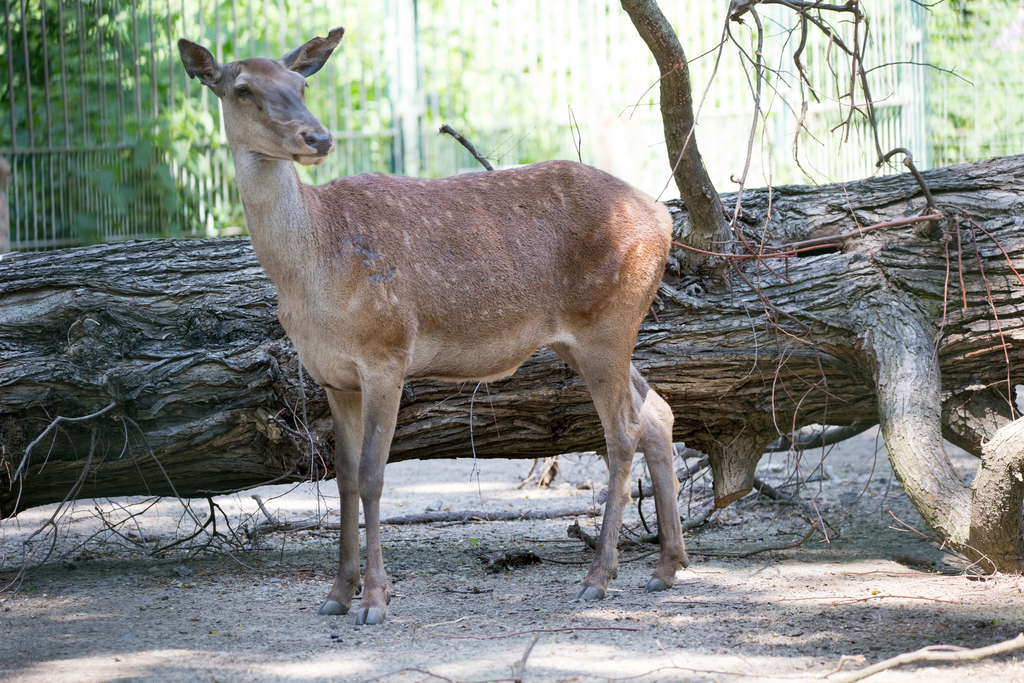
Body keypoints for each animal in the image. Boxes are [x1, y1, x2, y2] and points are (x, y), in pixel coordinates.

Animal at [178, 27, 688, 626]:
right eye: (243, 89)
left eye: (300, 84)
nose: (318, 136)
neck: (313, 272)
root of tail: (665, 218)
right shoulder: (332, 375)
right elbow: (343, 476)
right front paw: (337, 594)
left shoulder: (386, 354)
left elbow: (373, 476)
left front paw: (375, 600)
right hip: (584, 341)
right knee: (657, 413)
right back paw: (666, 568)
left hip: (607, 326)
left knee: (622, 432)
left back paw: (598, 578)